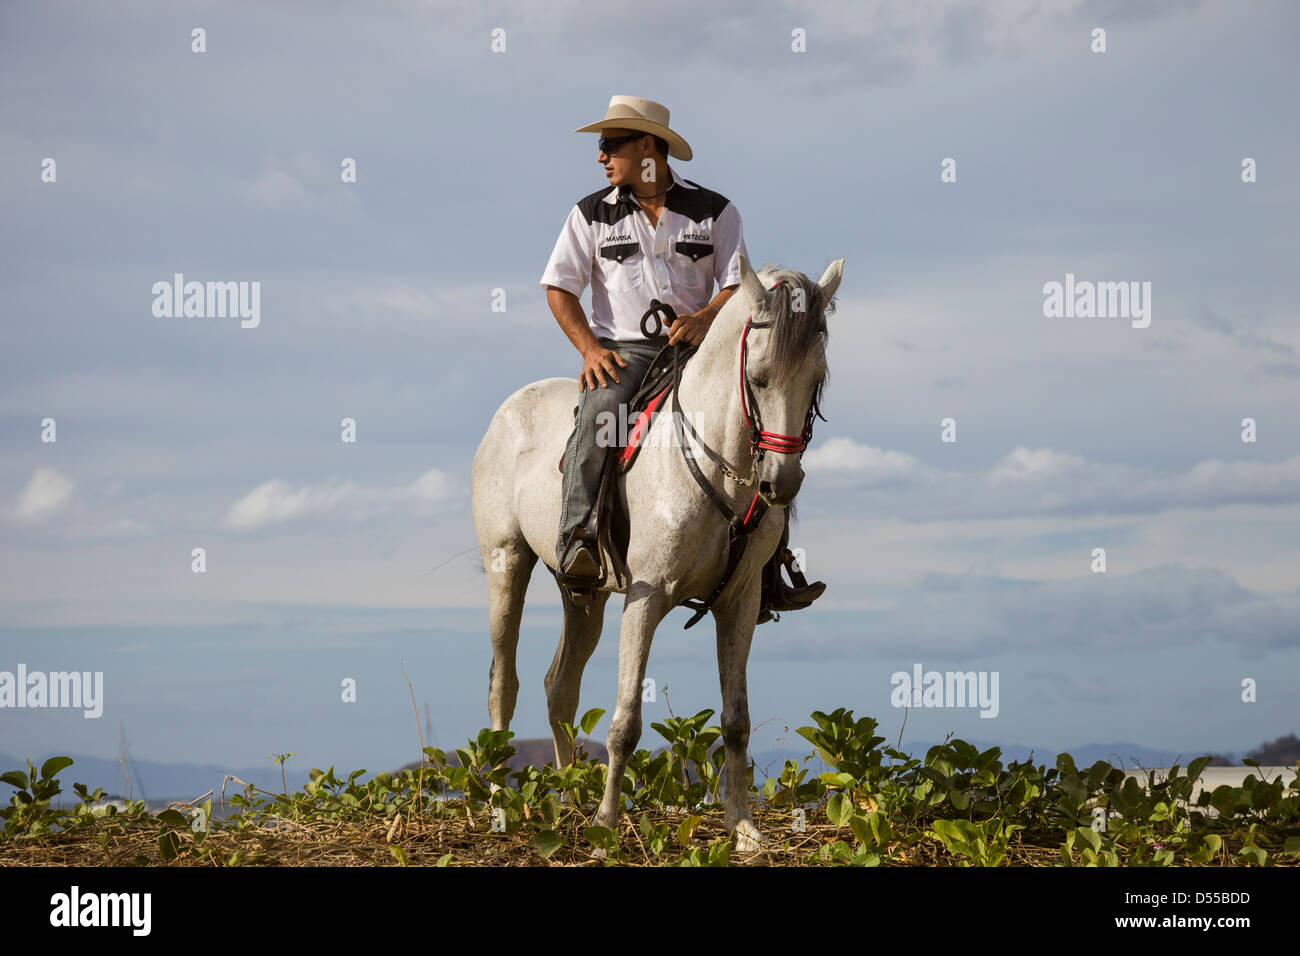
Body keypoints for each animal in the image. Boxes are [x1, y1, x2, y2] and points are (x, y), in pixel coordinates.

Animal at [470, 254, 844, 851]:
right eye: (758, 378)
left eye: (817, 380)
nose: (781, 483)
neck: (718, 461)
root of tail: (509, 409)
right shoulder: (645, 599)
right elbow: (625, 723)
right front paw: (606, 825)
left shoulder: (739, 604)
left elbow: (736, 721)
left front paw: (742, 827)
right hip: (507, 564)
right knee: (503, 683)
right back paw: (504, 807)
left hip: (586, 595)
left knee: (560, 687)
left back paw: (568, 798)